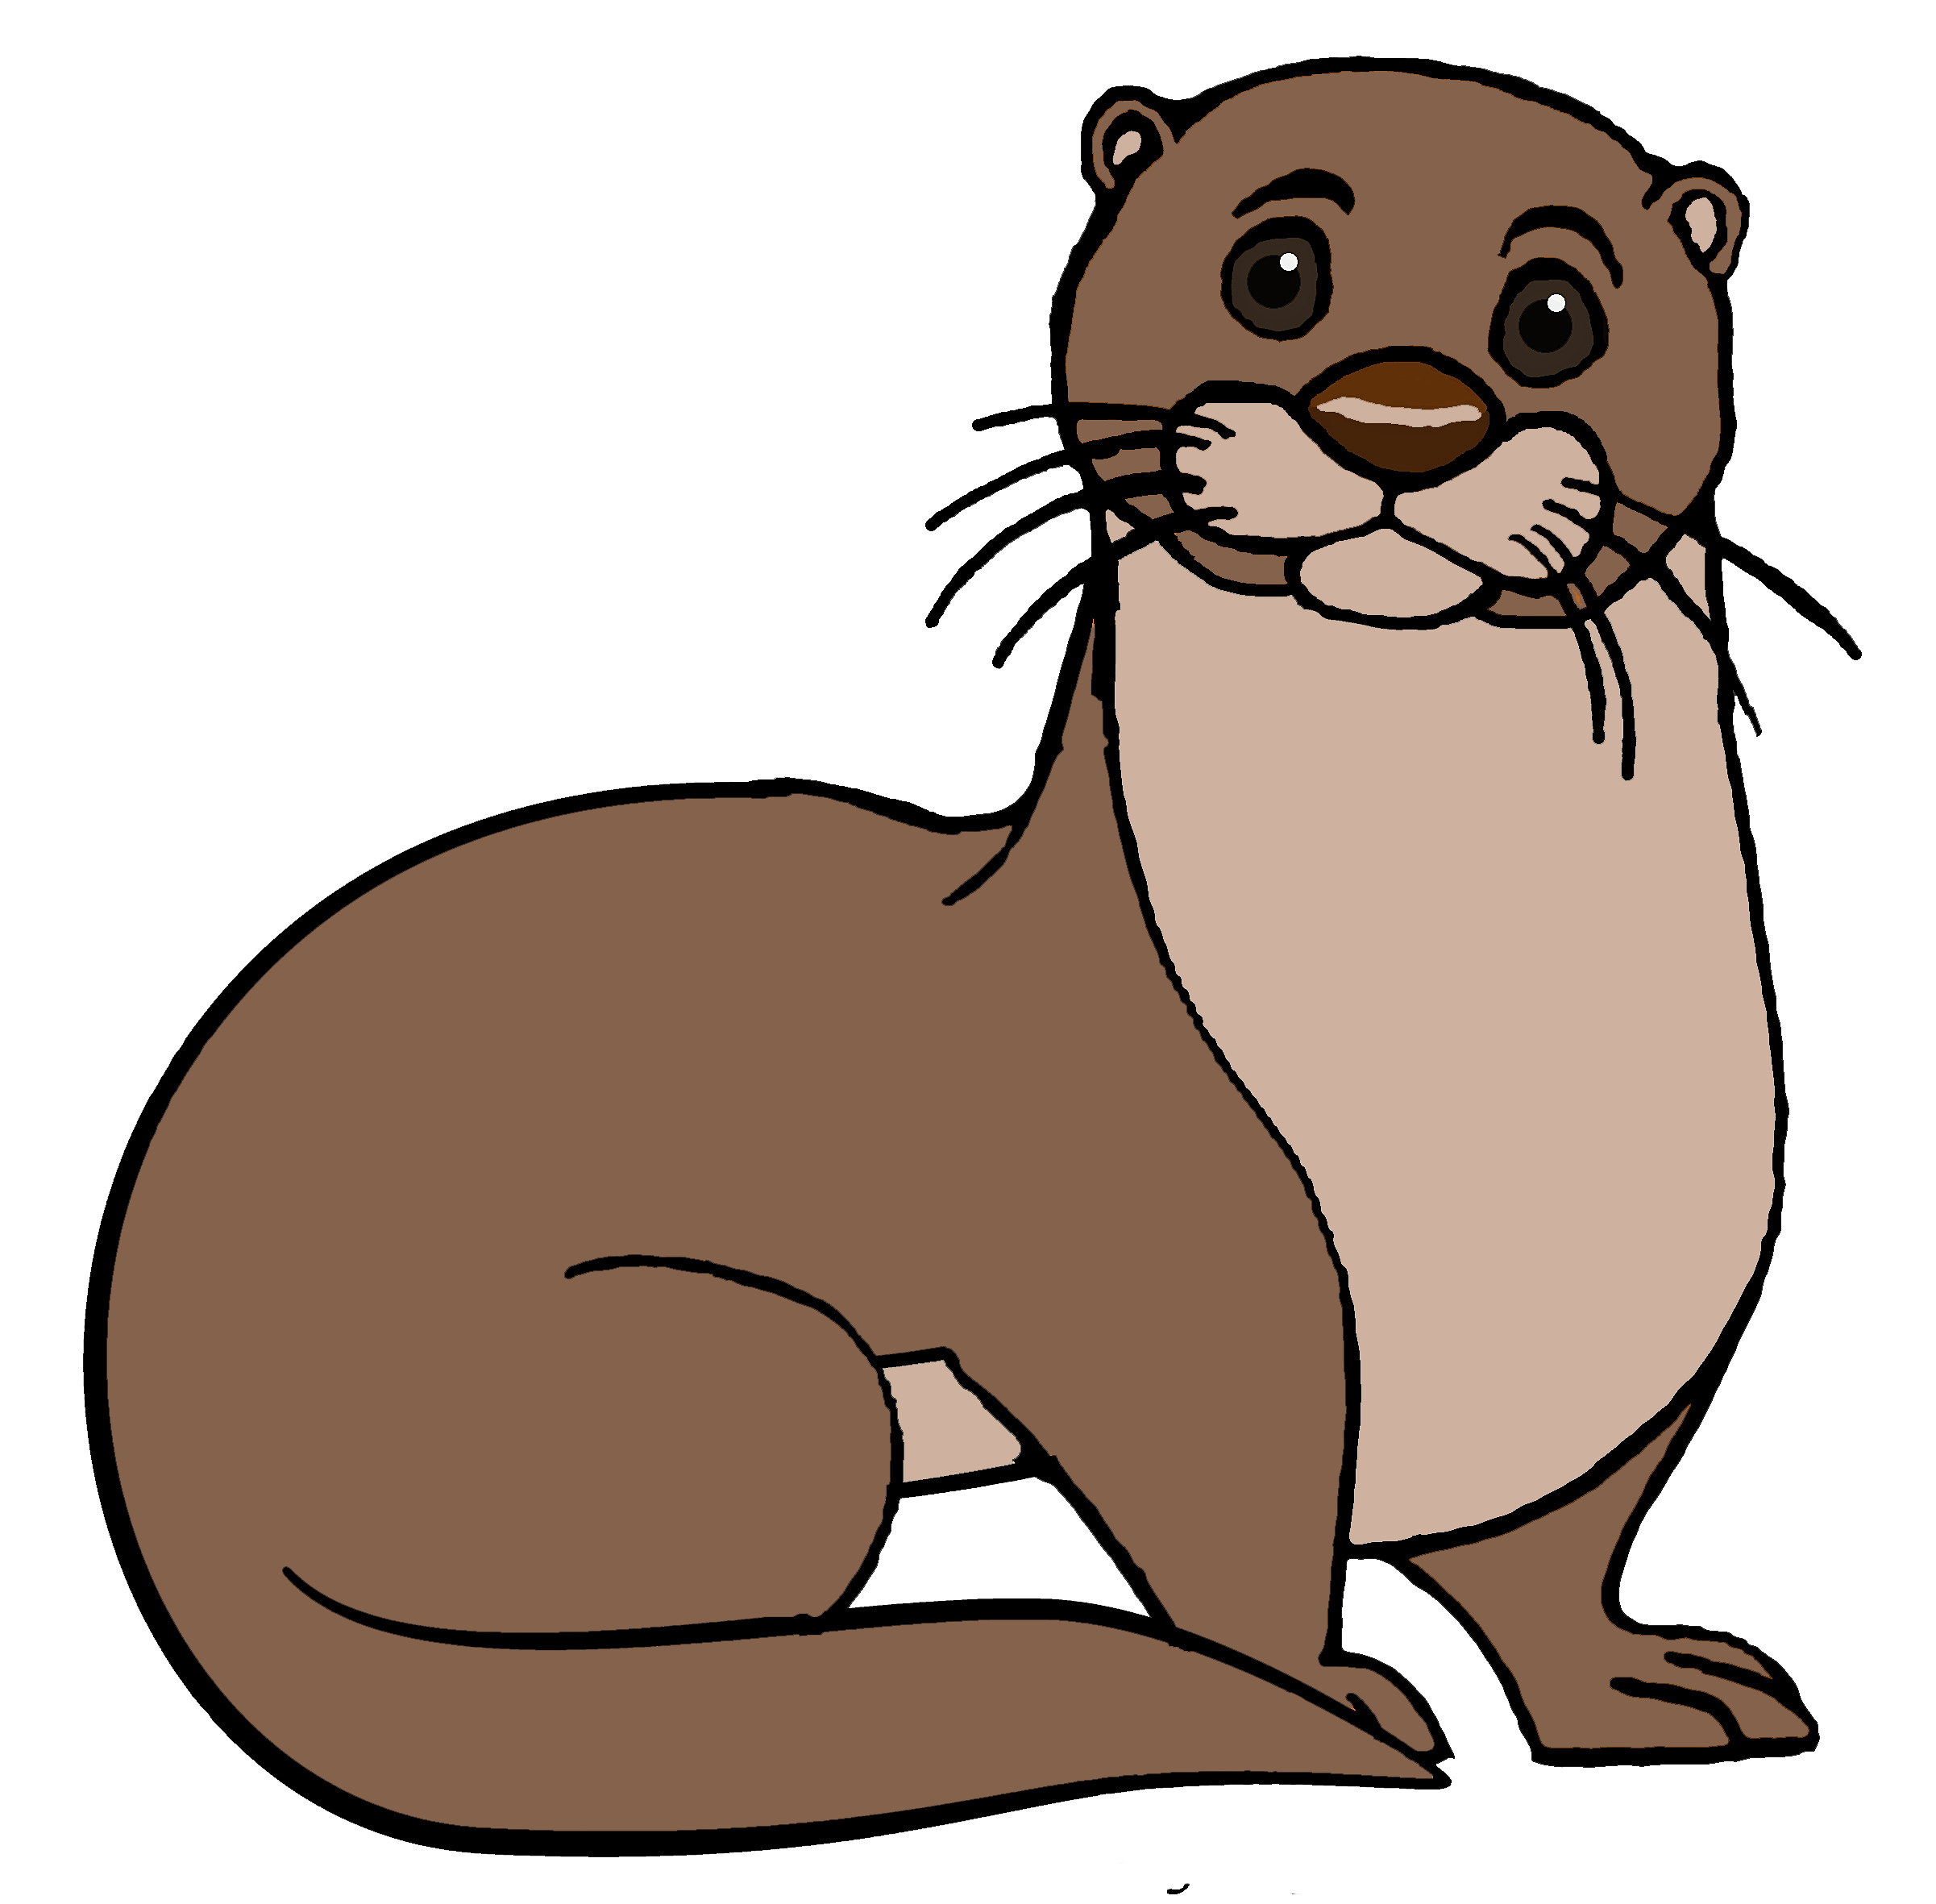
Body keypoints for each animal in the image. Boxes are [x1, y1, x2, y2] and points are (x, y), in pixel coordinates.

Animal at [95, 63, 1824, 1841]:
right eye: (1275, 272)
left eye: (1550, 313)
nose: (1400, 415)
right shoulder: (1167, 1263)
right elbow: (1234, 1529)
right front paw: (1320, 1692)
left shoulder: (1637, 1321)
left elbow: (1552, 1553)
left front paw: (1630, 1689)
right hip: (767, 1382)